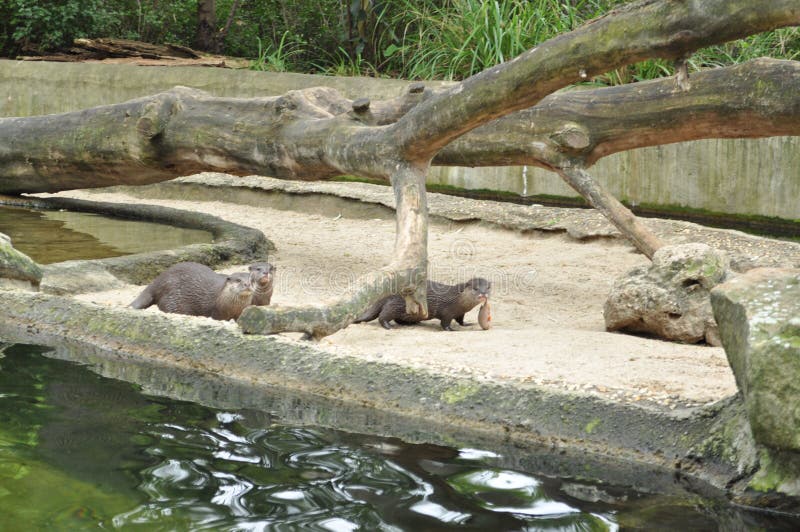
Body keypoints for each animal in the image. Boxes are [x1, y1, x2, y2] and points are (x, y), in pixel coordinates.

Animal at [355, 278, 491, 331]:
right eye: (476, 288)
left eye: (488, 287)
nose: (484, 294)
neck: (457, 300)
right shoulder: (447, 311)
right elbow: (445, 323)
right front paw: (451, 329)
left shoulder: (460, 312)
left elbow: (460, 320)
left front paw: (467, 324)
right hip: (394, 305)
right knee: (383, 316)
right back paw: (389, 326)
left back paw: (412, 323)